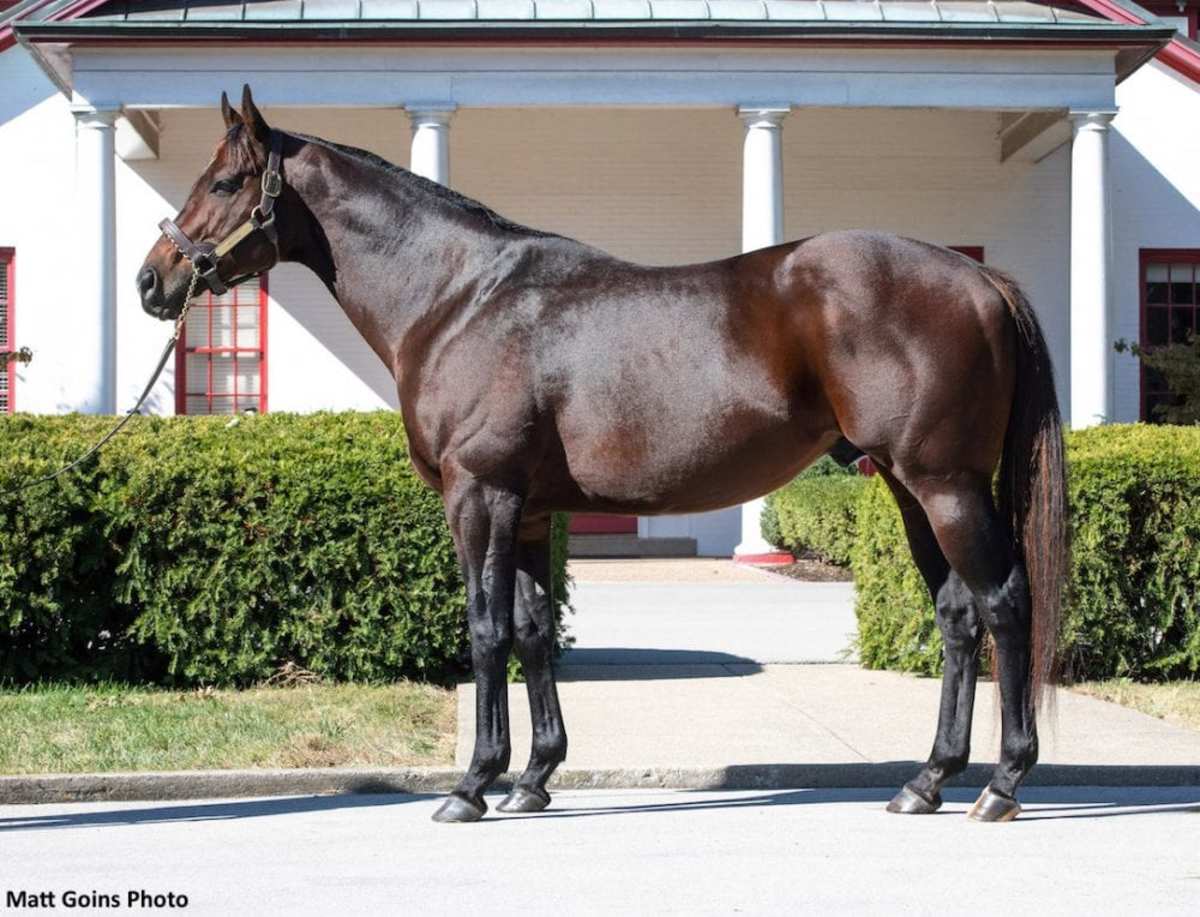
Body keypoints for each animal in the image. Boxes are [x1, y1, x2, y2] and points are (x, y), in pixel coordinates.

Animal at [138, 86, 1067, 824]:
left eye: (225, 182)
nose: (153, 280)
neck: (458, 296)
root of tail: (979, 280)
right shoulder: (529, 508)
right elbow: (532, 628)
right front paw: (534, 777)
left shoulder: (479, 495)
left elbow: (484, 629)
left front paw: (471, 785)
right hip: (911, 489)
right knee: (957, 614)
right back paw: (926, 780)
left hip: (946, 485)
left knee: (1002, 603)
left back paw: (1002, 784)